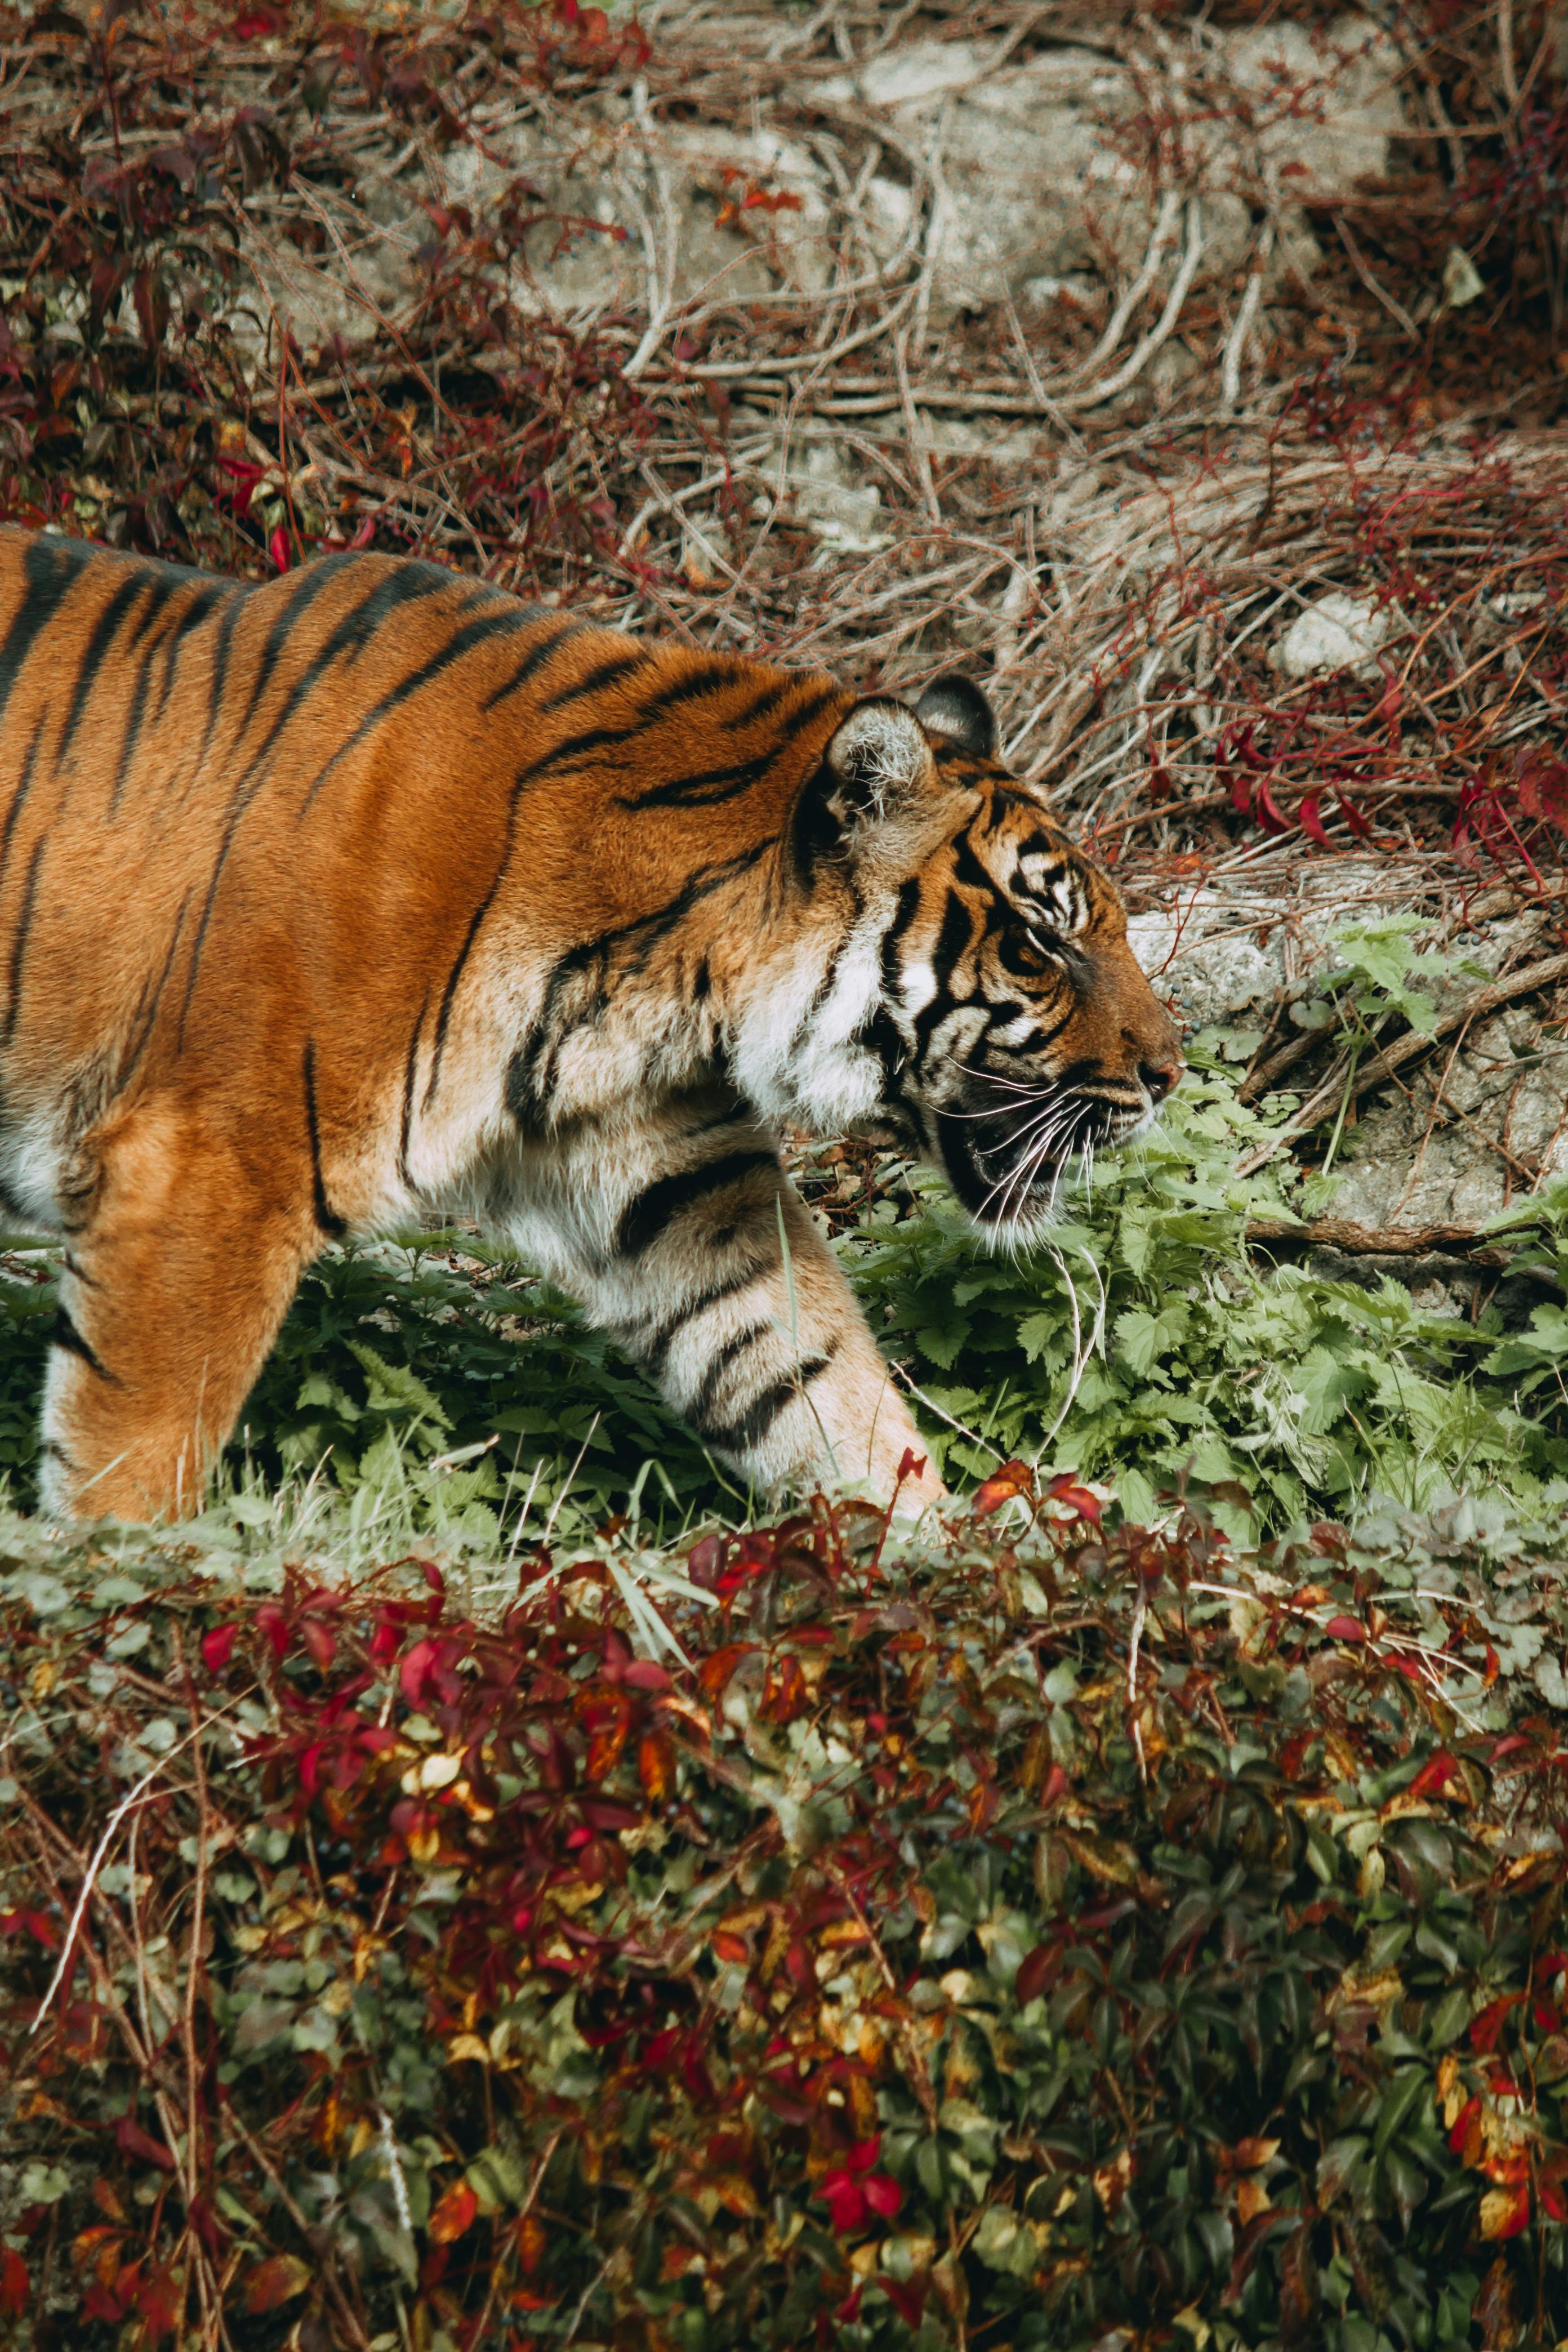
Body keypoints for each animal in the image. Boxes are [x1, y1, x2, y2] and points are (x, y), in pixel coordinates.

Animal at [0, 524, 1183, 1524]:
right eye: (1038, 944)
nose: (1170, 1073)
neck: (664, 979)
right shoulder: (209, 1167)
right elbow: (138, 1450)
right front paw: (126, 1591)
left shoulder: (674, 1184)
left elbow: (810, 1370)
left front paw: (958, 1566)